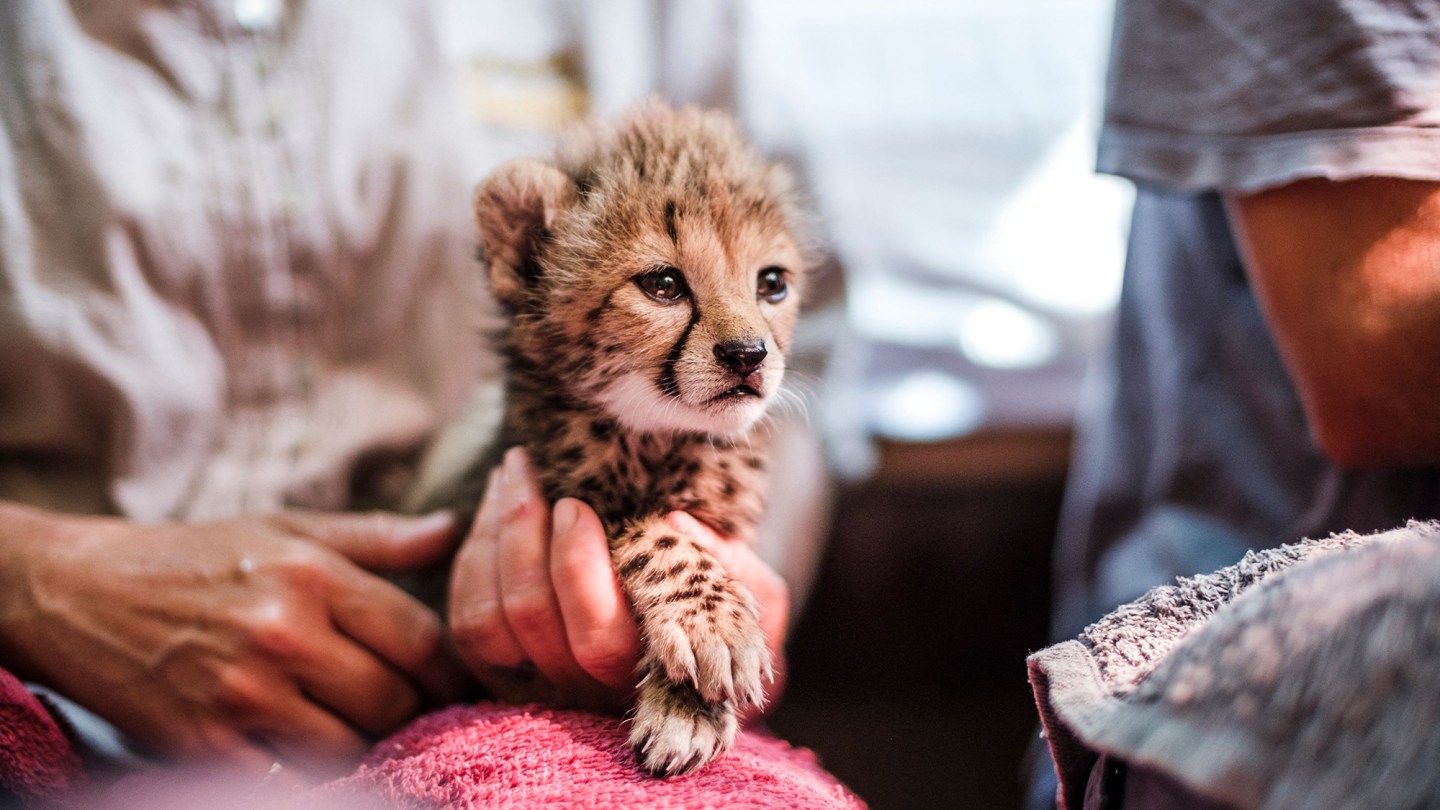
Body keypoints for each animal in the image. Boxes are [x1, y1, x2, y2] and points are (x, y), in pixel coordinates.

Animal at [416, 101, 810, 776]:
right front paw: (713, 630)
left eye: (772, 284)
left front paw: (688, 704)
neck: (658, 435)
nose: (748, 355)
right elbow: (653, 529)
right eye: (664, 285)